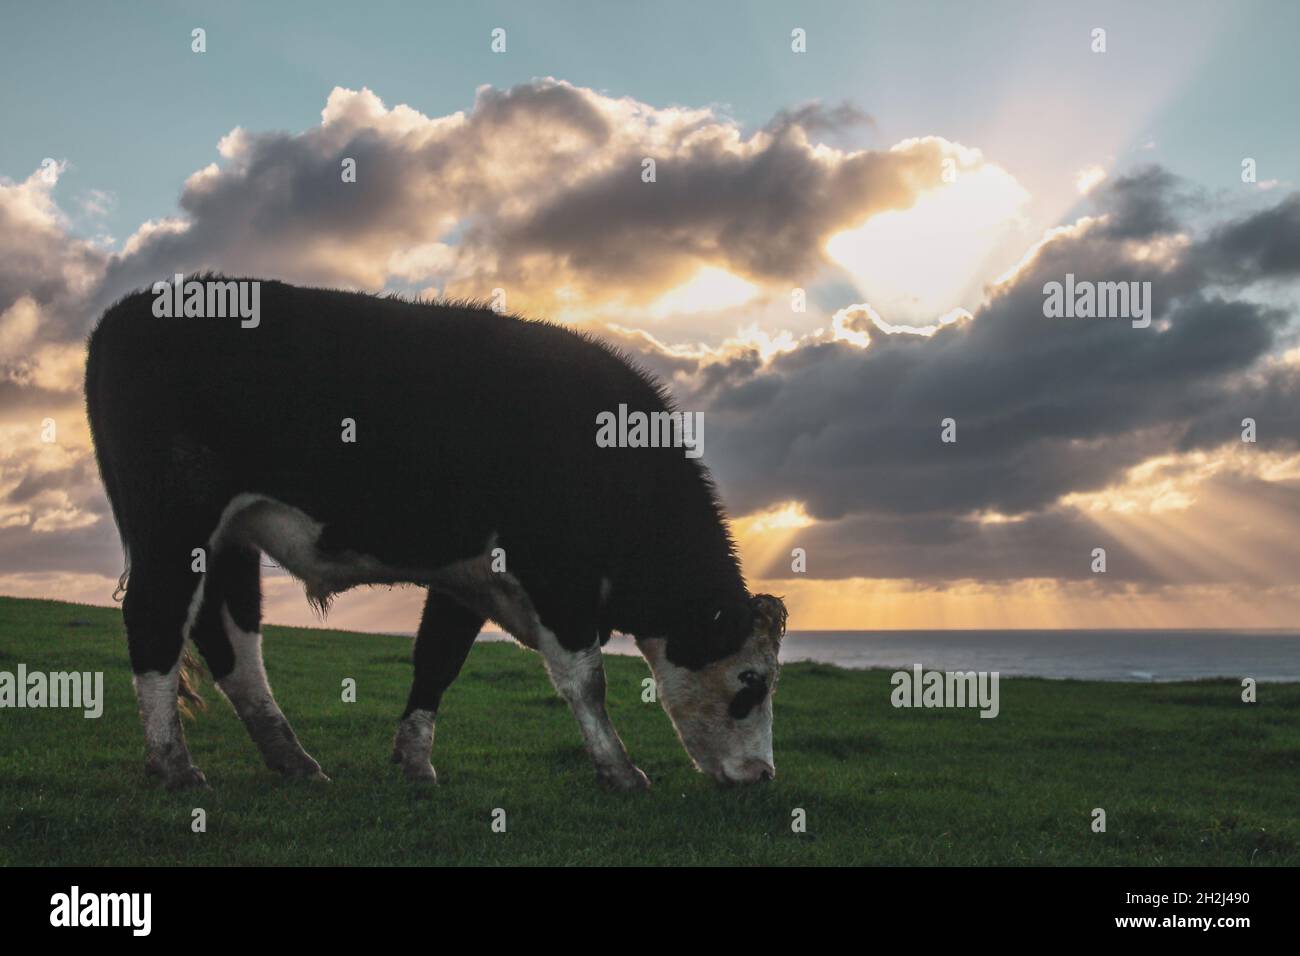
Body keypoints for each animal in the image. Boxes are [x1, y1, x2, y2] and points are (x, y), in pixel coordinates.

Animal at [85, 277, 787, 791]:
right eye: (751, 684)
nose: (761, 775)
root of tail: (128, 309)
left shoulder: (468, 575)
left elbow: (437, 660)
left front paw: (415, 762)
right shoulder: (557, 576)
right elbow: (586, 679)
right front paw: (620, 771)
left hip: (230, 535)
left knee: (229, 637)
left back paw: (291, 759)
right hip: (174, 518)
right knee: (155, 619)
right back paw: (174, 765)